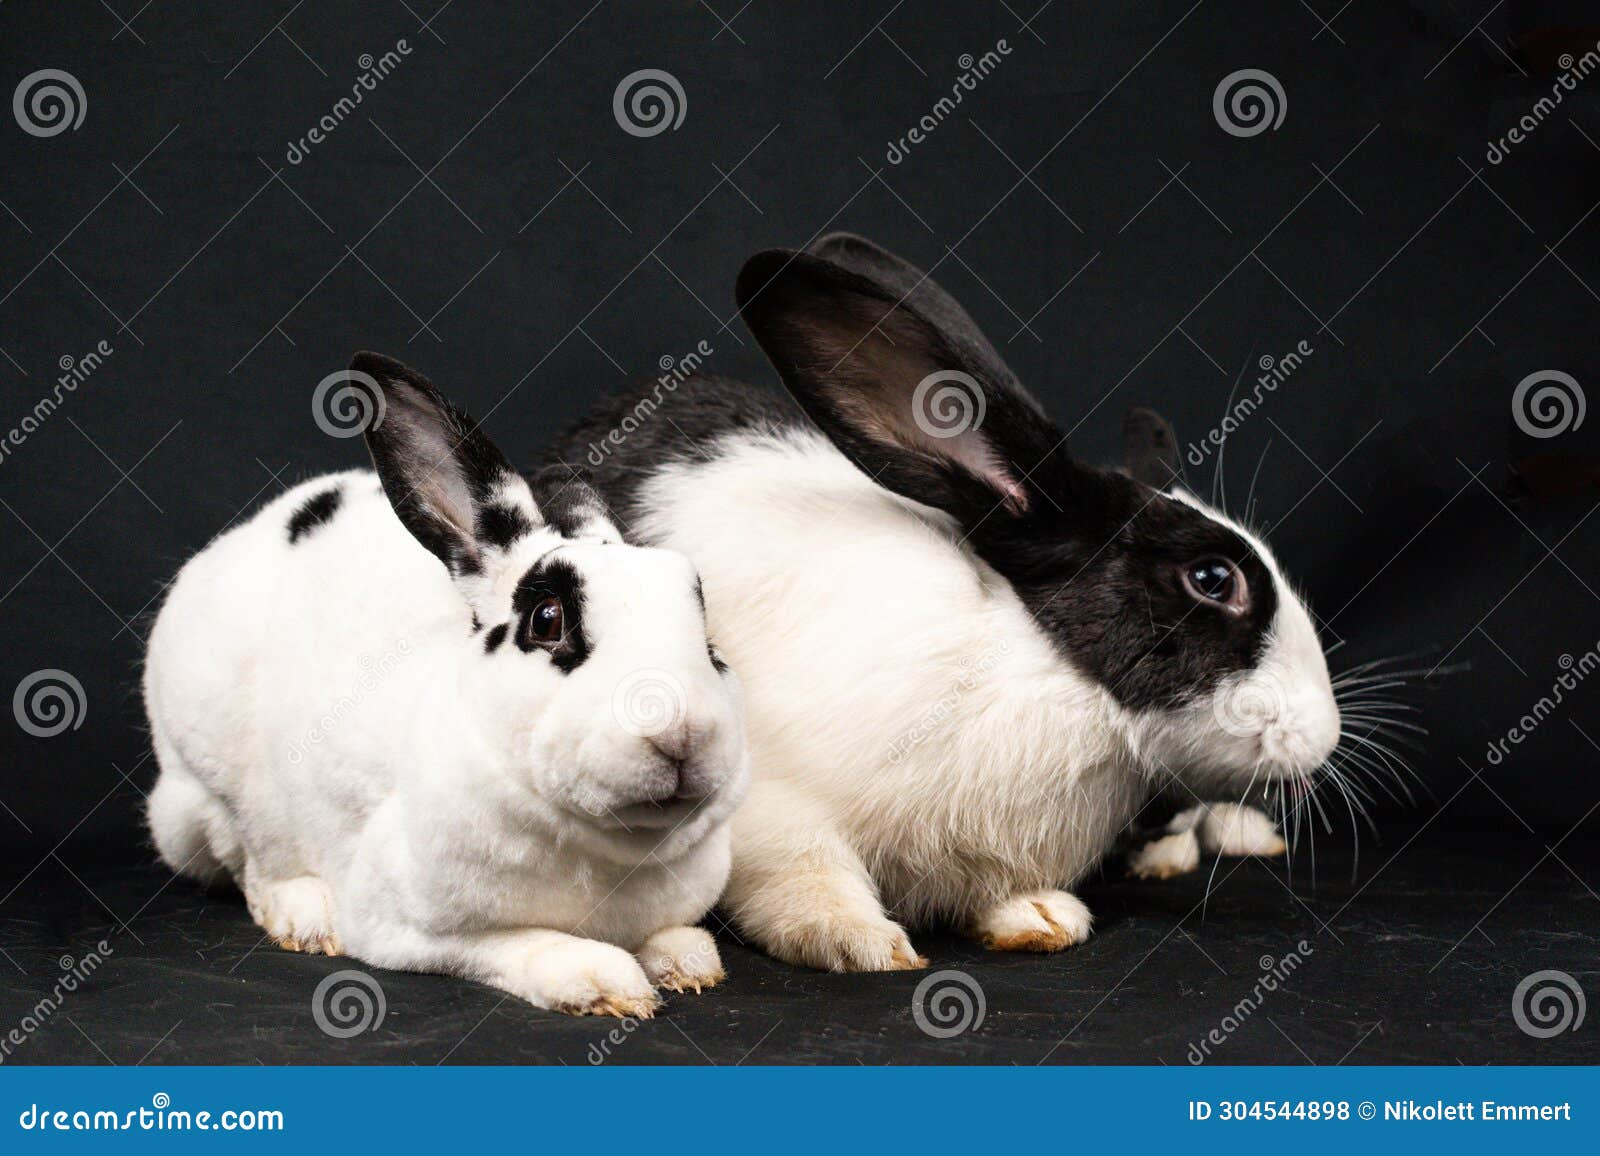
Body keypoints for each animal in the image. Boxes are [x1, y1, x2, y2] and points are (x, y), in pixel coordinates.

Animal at [143, 352, 749, 1016]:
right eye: (547, 620)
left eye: (706, 634)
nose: (683, 732)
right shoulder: (408, 928)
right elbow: (525, 944)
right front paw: (605, 985)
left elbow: (674, 937)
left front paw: (688, 965)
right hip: (217, 792)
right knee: (254, 864)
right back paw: (309, 921)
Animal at [550, 233, 1341, 973]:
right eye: (1212, 579)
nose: (1326, 737)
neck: (1039, 666)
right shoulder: (773, 803)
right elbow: (803, 874)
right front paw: (859, 941)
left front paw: (1040, 916)